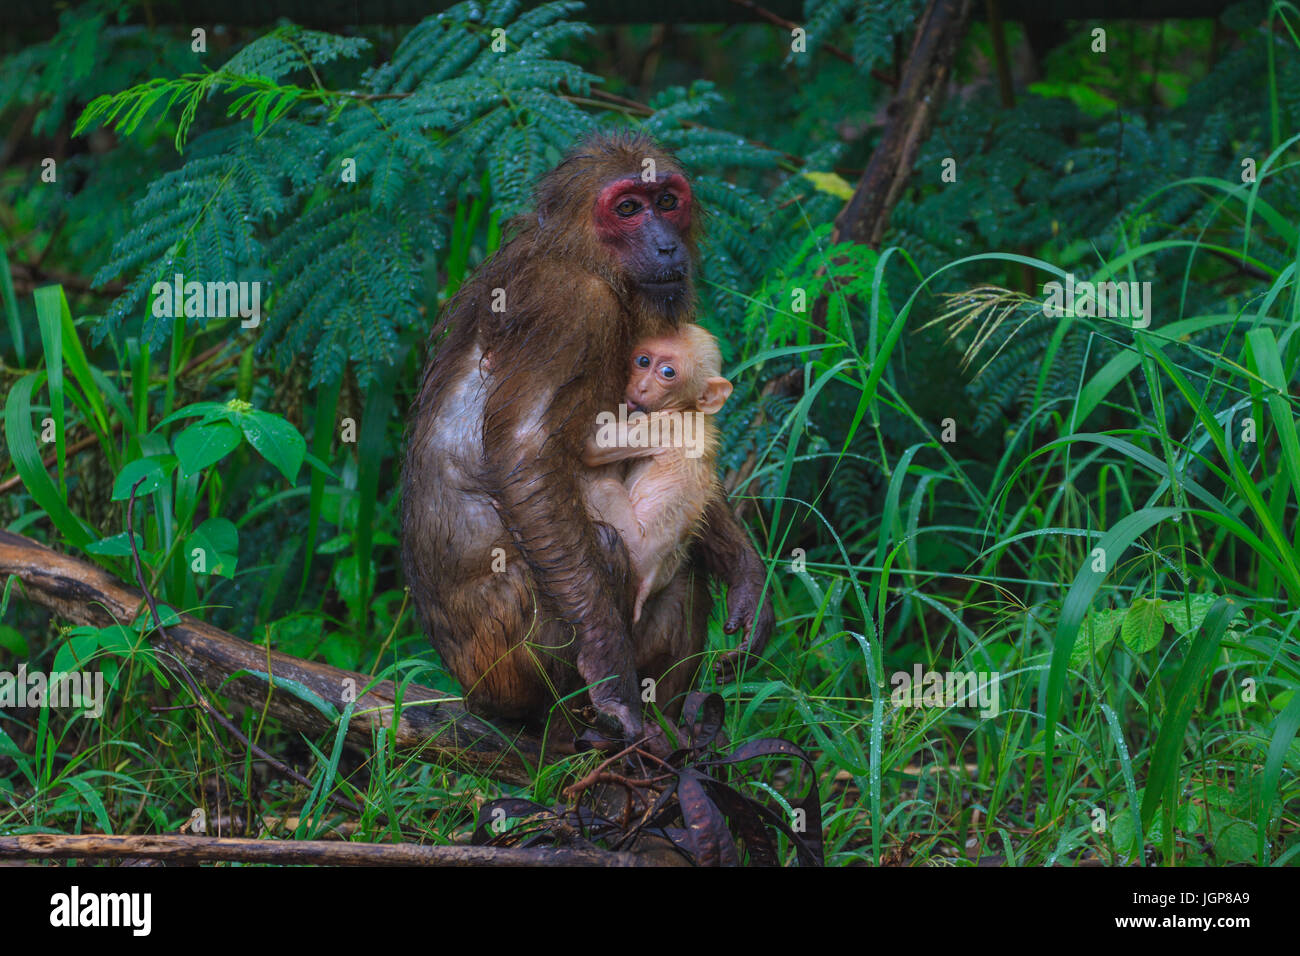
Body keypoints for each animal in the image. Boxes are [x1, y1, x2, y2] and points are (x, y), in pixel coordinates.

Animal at [582, 324, 733, 626]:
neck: (689, 409)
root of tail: (649, 580)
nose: (641, 386)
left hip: (636, 552)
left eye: (667, 373)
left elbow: (593, 446)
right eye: (643, 361)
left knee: (604, 487)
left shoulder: (663, 425)